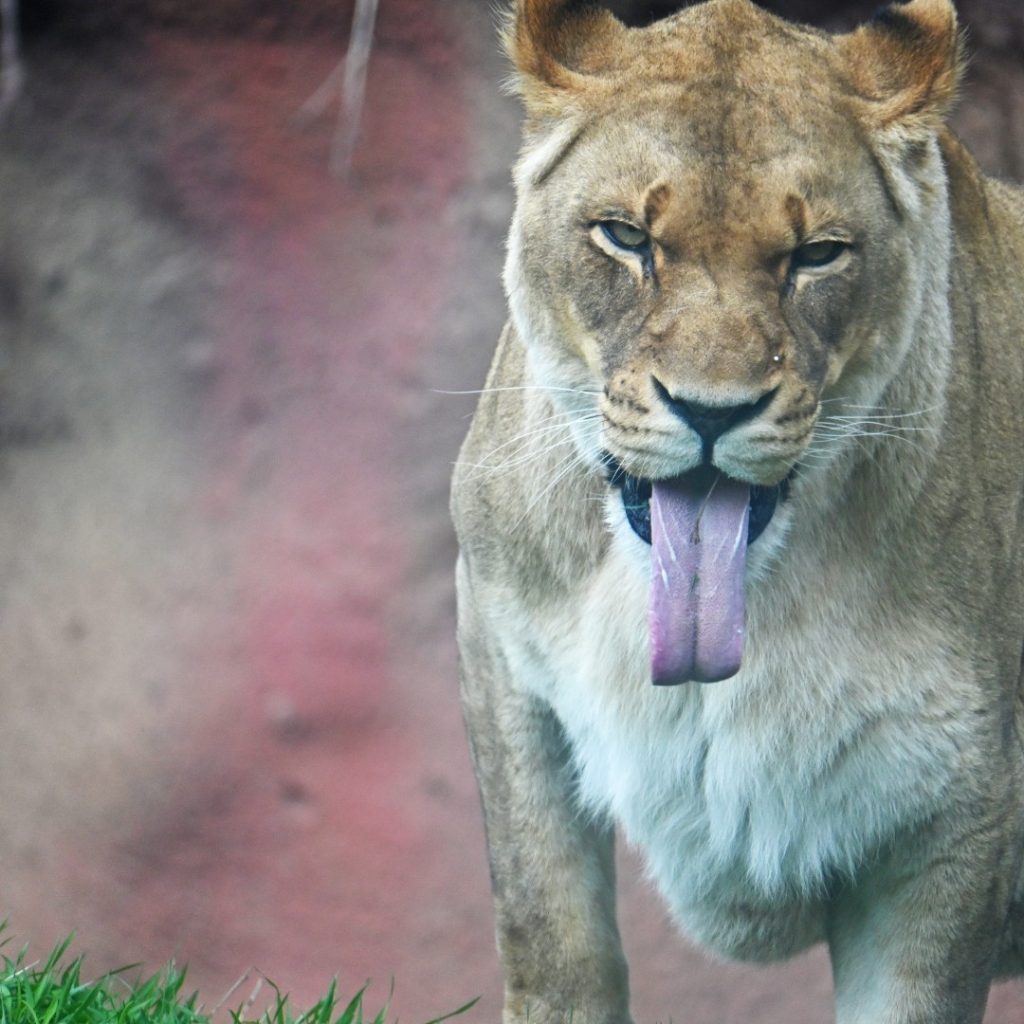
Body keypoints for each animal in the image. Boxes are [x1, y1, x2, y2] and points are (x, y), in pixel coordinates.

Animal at [450, 1, 1024, 1020]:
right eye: (625, 237)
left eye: (817, 255)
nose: (712, 412)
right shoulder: (498, 656)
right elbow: (553, 942)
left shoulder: (957, 811)